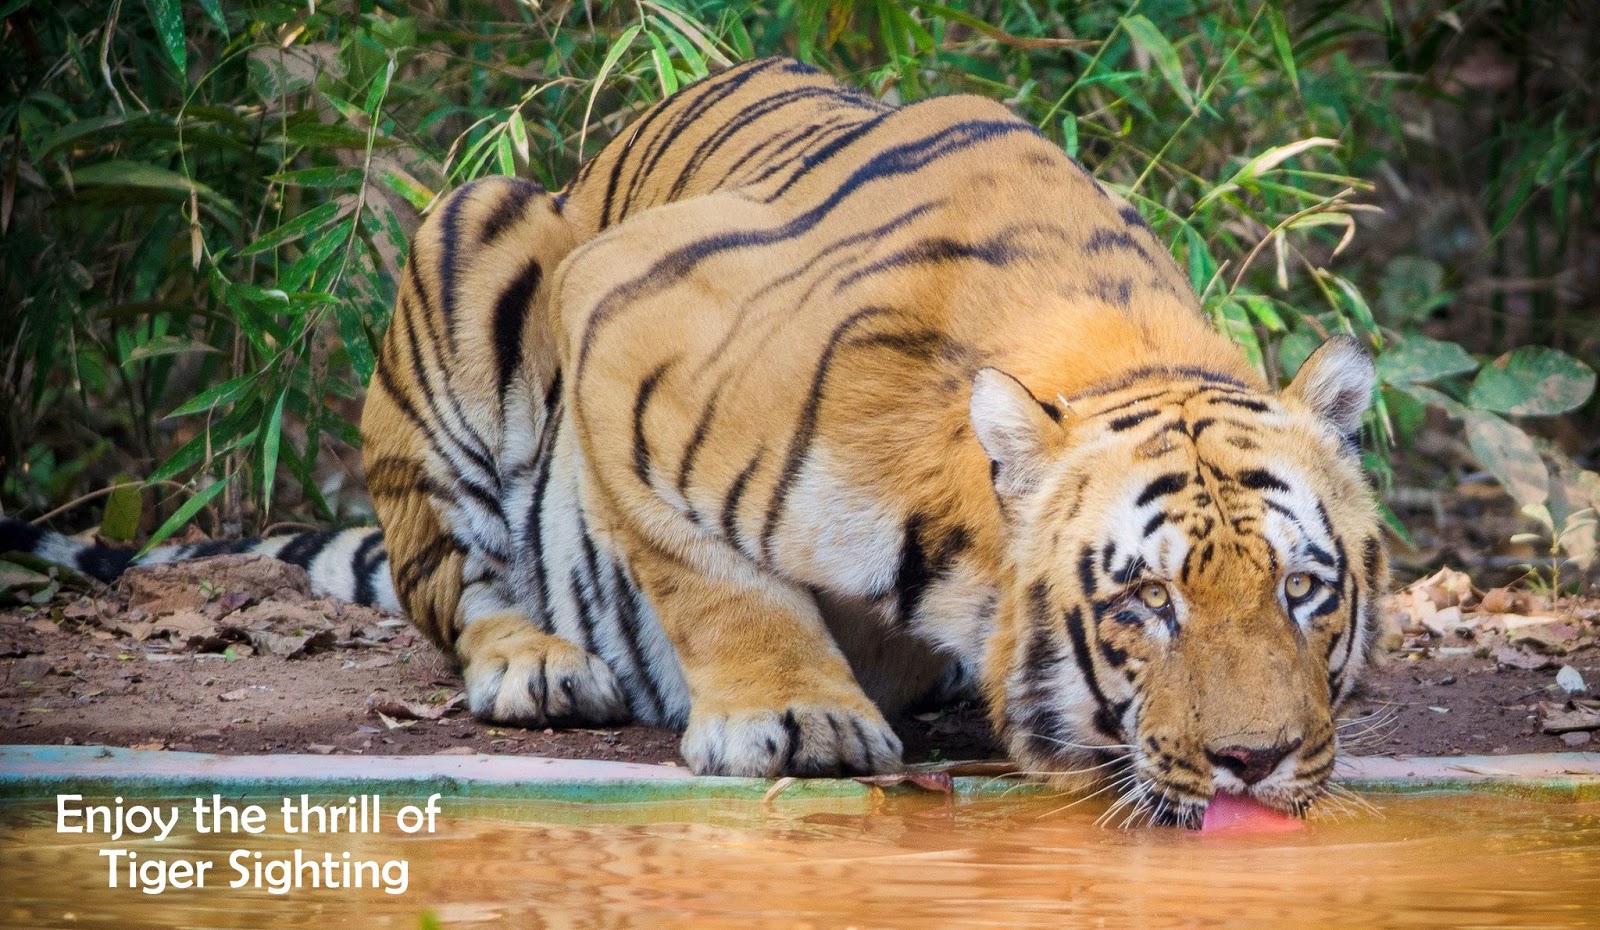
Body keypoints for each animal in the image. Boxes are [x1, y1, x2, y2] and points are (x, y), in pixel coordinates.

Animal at [4, 57, 1387, 825]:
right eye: (1146, 603)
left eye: (1302, 590)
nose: (1257, 764)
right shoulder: (623, 308)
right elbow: (708, 573)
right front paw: (795, 716)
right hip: (477, 231)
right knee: (453, 586)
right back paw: (539, 664)